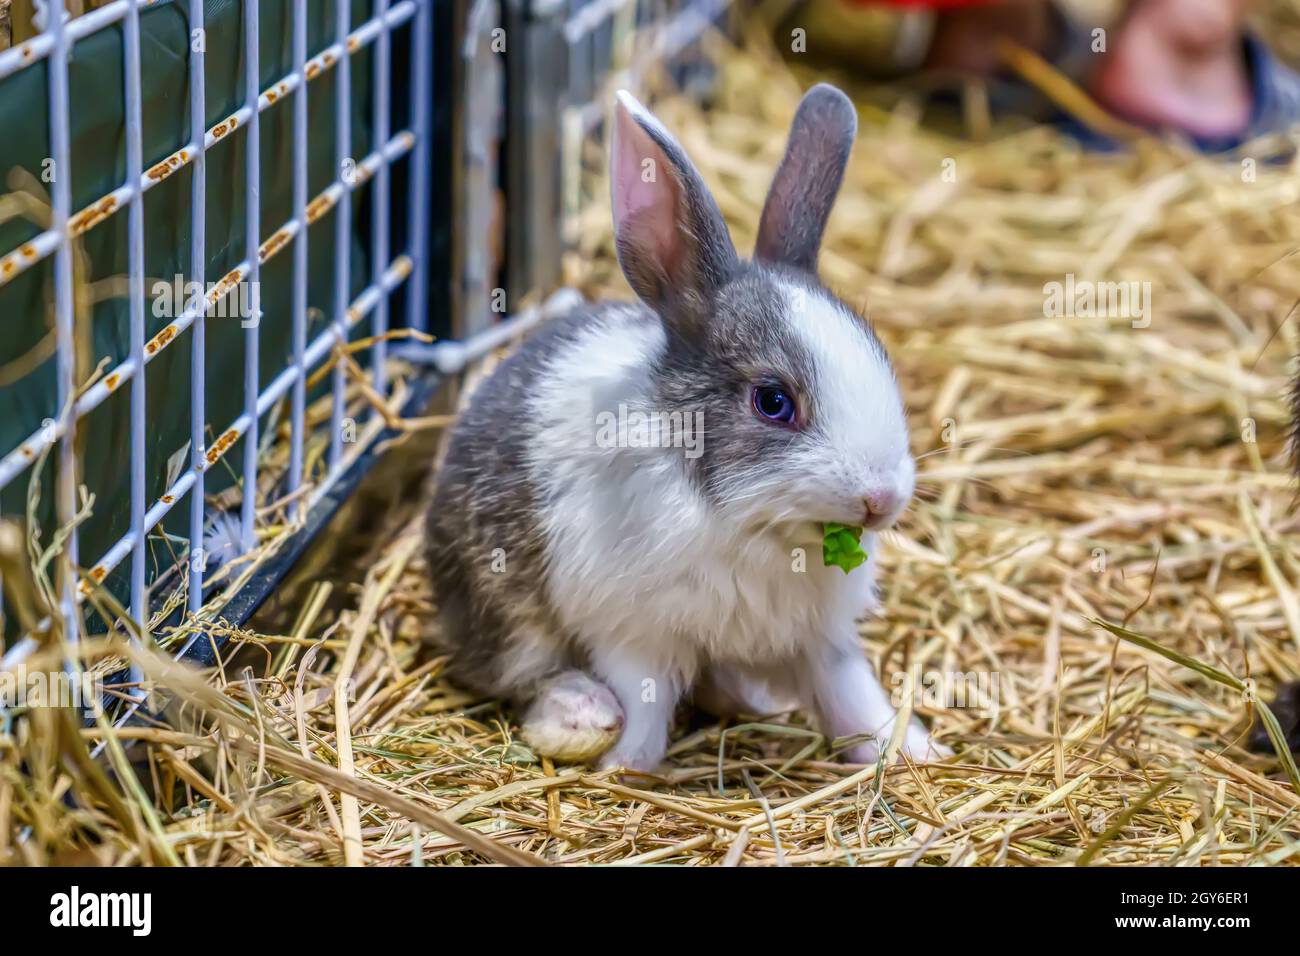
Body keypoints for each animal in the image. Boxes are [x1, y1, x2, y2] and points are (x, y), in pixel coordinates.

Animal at [425, 82, 944, 772]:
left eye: (882, 356)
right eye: (772, 401)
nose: (882, 498)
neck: (757, 529)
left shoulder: (823, 641)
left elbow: (853, 698)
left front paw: (910, 751)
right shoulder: (633, 638)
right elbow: (643, 706)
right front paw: (624, 767)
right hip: (509, 618)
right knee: (521, 671)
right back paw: (580, 713)